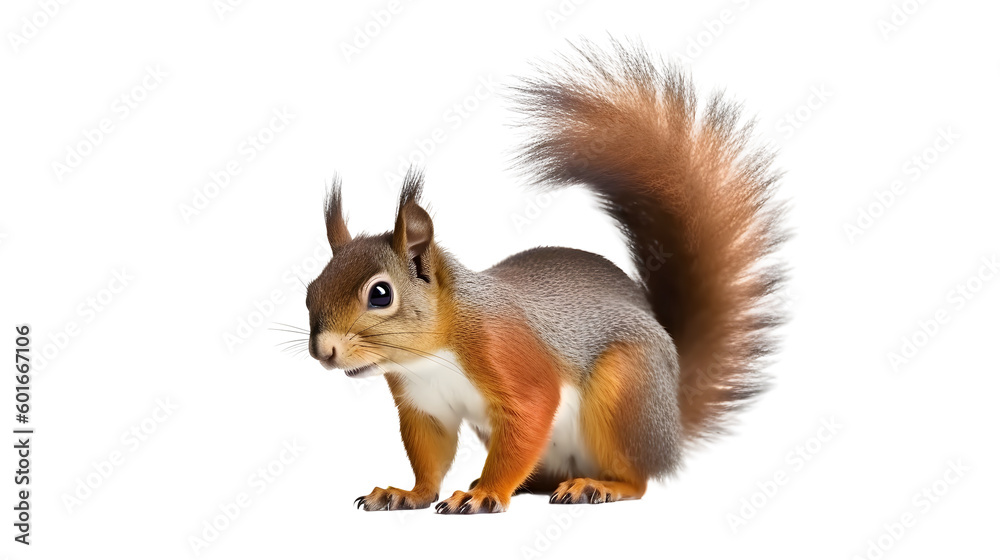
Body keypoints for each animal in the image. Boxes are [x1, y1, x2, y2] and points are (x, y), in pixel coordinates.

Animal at [303, 40, 786, 514]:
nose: (323, 352)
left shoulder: (511, 356)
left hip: (625, 389)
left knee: (638, 479)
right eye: (309, 293)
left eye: (380, 294)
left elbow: (528, 420)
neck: (432, 355)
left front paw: (485, 494)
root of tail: (671, 421)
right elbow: (430, 457)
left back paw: (595, 485)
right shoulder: (424, 405)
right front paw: (407, 493)